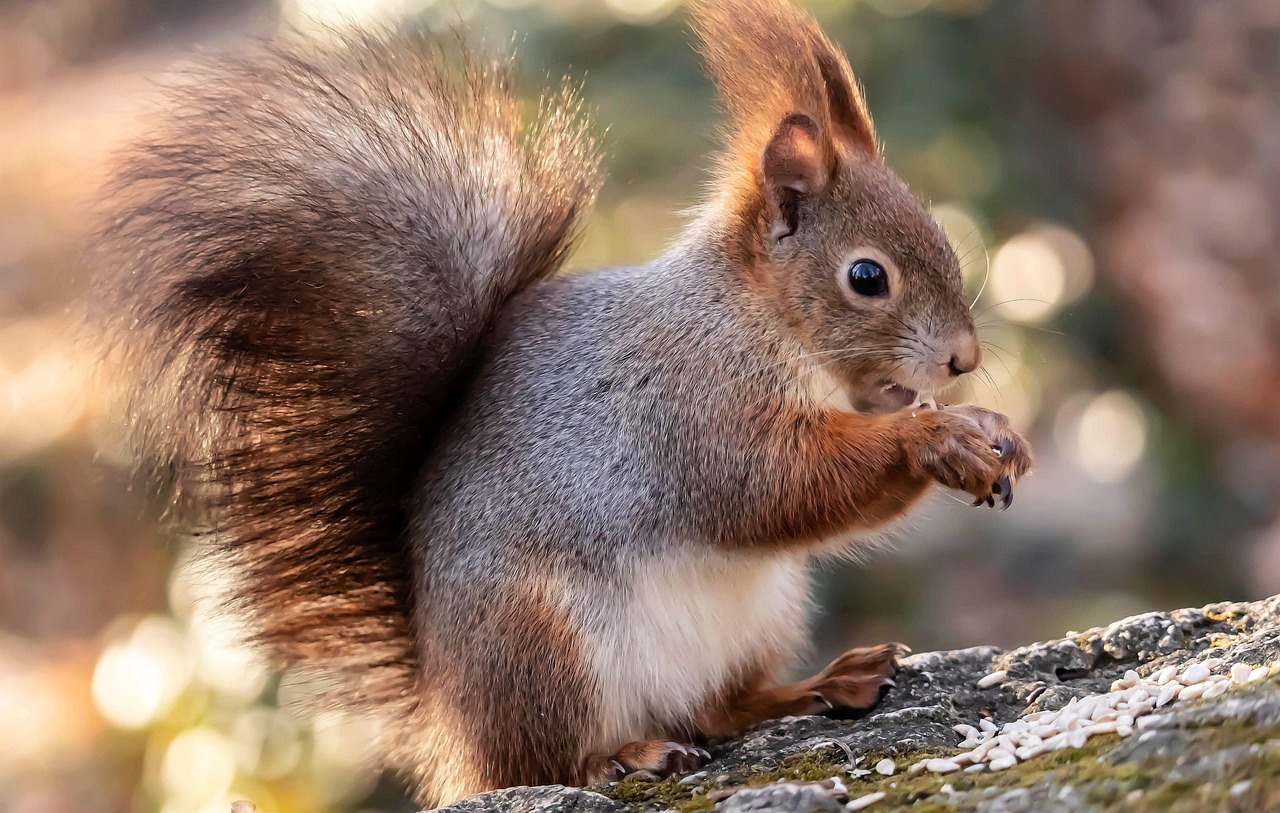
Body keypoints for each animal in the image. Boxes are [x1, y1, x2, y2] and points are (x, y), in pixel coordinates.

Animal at [95, 0, 1032, 805]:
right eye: (867, 277)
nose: (965, 358)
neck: (756, 317)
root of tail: (454, 731)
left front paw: (990, 430)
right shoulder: (691, 403)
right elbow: (773, 484)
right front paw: (936, 438)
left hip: (760, 616)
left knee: (718, 707)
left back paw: (818, 685)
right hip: (546, 644)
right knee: (555, 757)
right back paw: (626, 754)